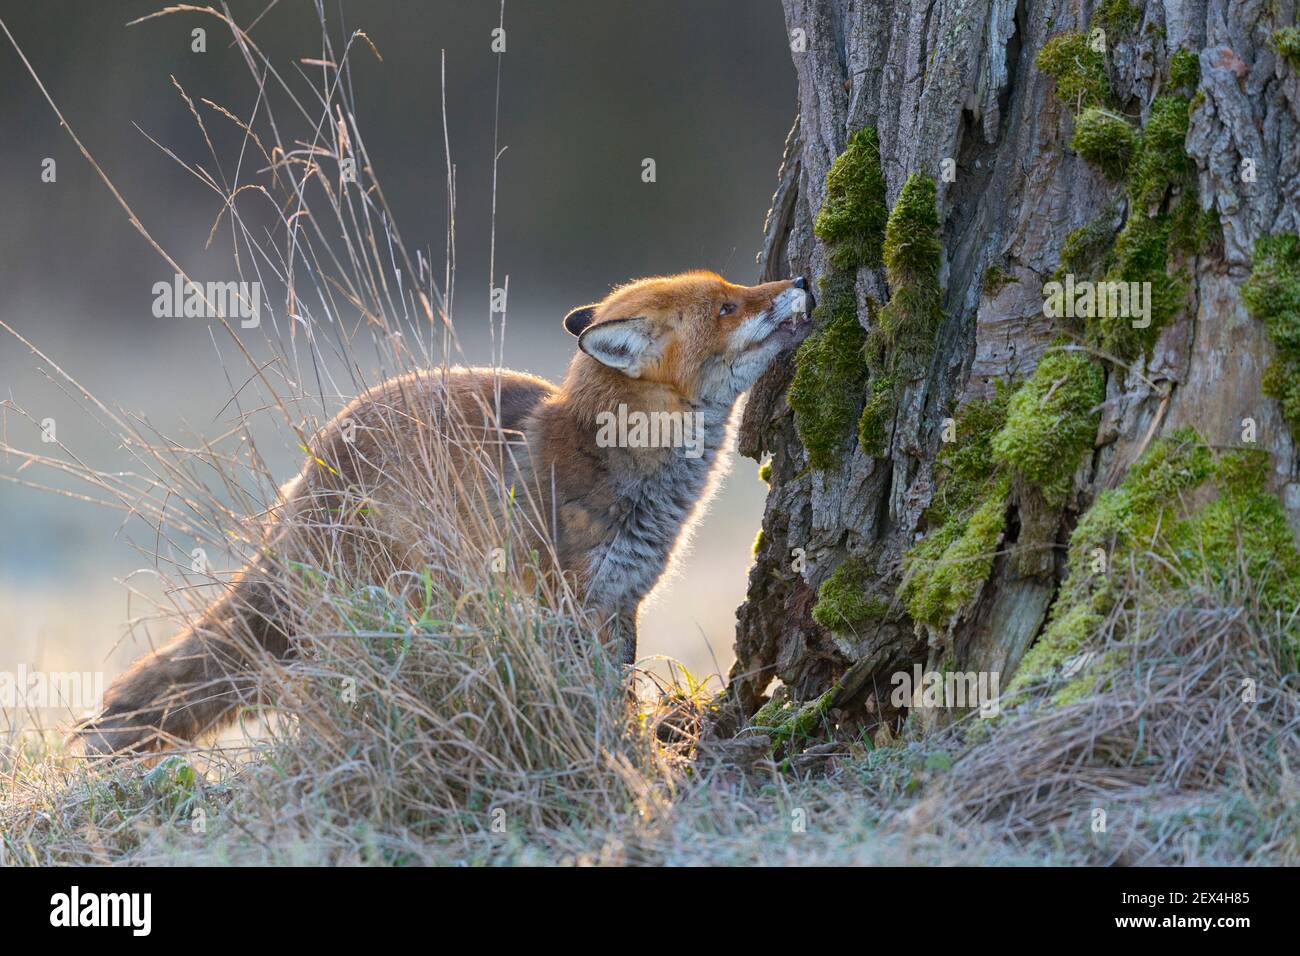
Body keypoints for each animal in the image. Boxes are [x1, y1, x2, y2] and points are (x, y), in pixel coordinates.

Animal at [80, 271, 812, 754]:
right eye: (727, 305)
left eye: (736, 289)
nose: (804, 276)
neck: (614, 459)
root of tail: (301, 484)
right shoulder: (558, 602)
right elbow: (589, 700)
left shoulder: (620, 602)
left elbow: (619, 691)